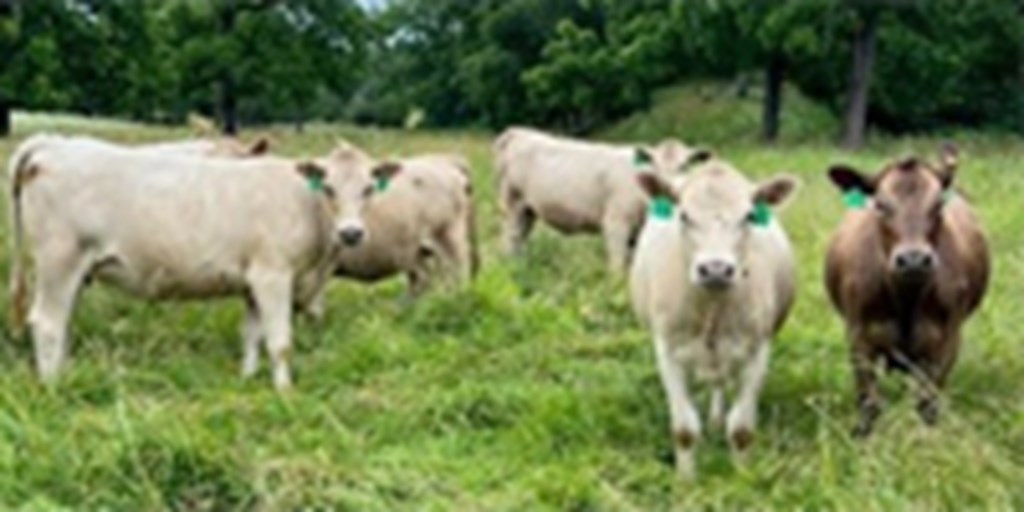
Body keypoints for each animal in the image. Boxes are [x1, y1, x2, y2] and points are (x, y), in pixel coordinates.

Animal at [6, 133, 397, 391]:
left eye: (368, 188)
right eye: (328, 187)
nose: (351, 233)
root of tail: (53, 142)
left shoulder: (253, 280)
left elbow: (251, 335)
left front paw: (247, 379)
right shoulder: (273, 275)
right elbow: (280, 340)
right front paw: (284, 393)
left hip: (76, 269)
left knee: (64, 322)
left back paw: (65, 374)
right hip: (58, 260)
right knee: (47, 322)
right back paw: (54, 387)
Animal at [327, 142, 478, 297]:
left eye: (368, 189)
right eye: (328, 189)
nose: (350, 233)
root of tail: (444, 159)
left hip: (449, 243)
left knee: (456, 281)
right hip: (415, 254)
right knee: (422, 279)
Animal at [494, 127, 711, 273]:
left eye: (684, 165)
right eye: (654, 165)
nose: (667, 187)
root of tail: (518, 132)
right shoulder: (616, 223)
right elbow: (617, 266)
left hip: (527, 211)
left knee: (519, 240)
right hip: (512, 205)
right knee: (510, 240)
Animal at [629, 159, 798, 478]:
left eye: (749, 216)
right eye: (683, 215)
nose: (716, 269)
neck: (712, 308)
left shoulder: (758, 350)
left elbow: (742, 429)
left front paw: (743, 478)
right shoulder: (667, 351)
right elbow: (684, 429)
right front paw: (686, 480)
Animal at [824, 144, 990, 437]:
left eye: (938, 204)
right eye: (880, 205)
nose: (914, 259)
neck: (906, 298)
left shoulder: (947, 342)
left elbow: (928, 404)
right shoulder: (858, 338)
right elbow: (868, 402)